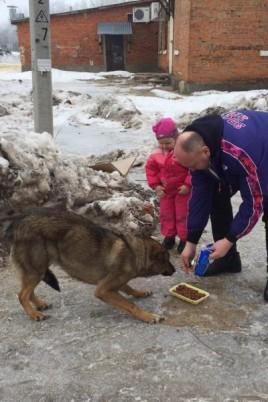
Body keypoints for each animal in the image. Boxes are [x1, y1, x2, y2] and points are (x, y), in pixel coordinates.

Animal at [5, 209, 176, 322]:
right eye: (167, 259)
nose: (175, 270)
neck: (134, 252)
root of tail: (18, 224)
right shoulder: (103, 289)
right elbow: (130, 305)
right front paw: (148, 316)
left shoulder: (114, 282)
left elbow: (128, 287)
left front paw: (139, 292)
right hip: (37, 269)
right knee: (22, 295)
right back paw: (34, 314)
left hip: (36, 270)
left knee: (27, 291)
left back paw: (39, 304)